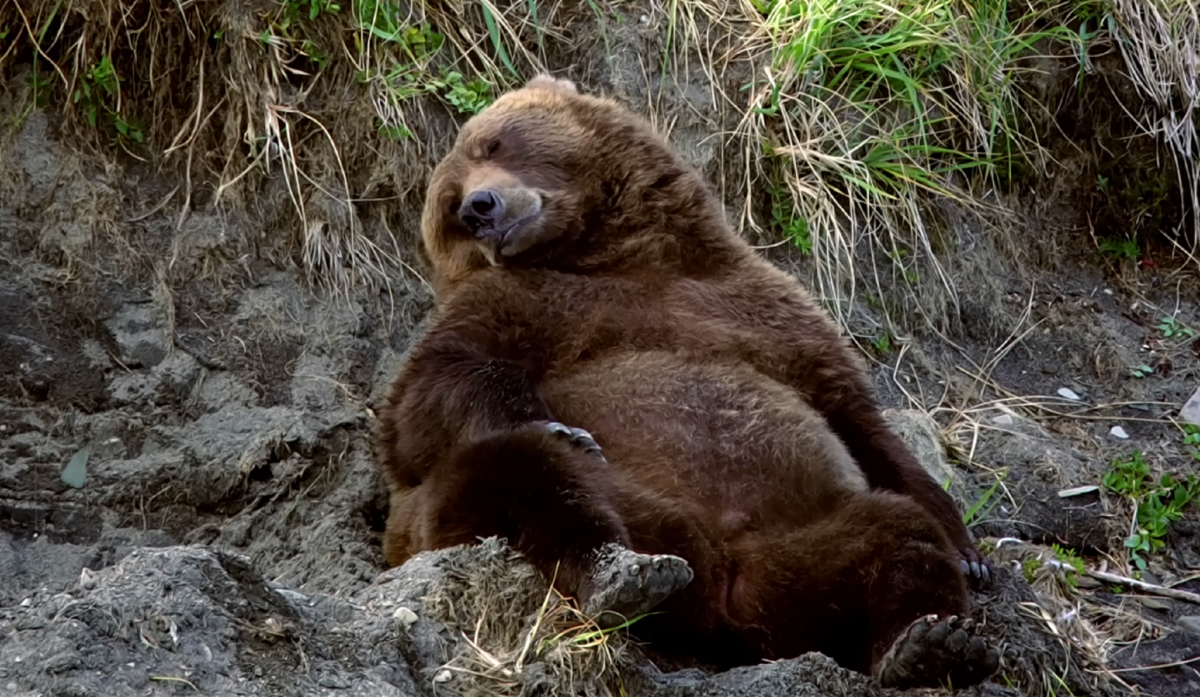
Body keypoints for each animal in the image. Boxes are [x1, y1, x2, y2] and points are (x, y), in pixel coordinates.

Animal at [379, 73, 998, 686]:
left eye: (493, 144)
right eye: (450, 207)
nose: (479, 208)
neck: (620, 255)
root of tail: (724, 582)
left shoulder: (764, 311)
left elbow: (858, 420)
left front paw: (972, 556)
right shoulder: (516, 303)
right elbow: (423, 404)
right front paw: (553, 425)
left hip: (801, 543)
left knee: (896, 530)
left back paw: (930, 641)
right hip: (618, 506)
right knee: (520, 467)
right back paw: (623, 573)